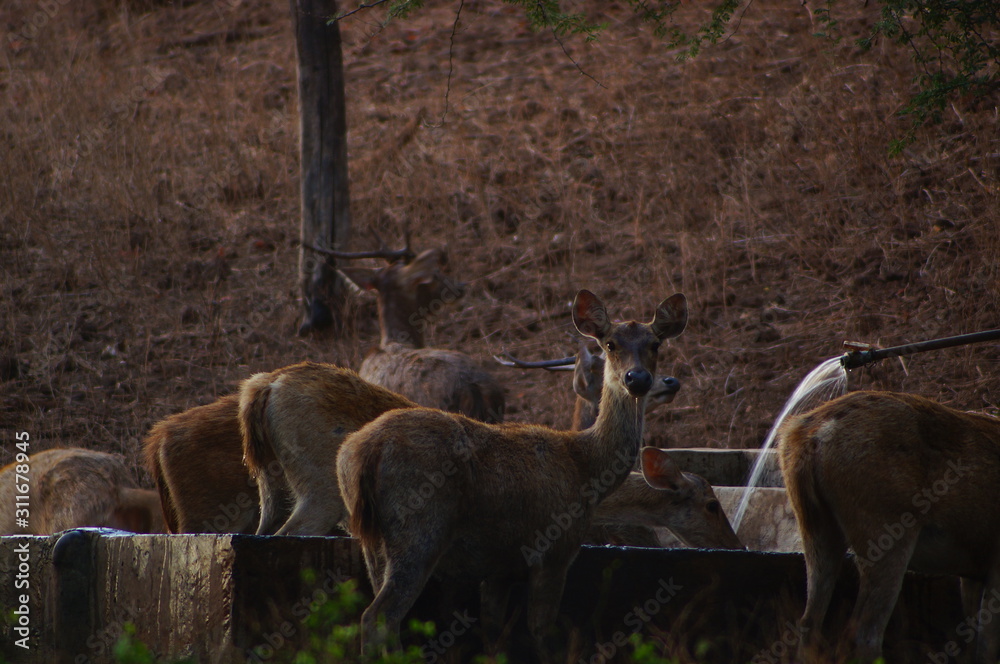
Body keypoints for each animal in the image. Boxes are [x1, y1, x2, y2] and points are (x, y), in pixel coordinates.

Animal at [336, 289, 688, 658]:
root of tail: (363, 452)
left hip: (370, 540)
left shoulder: (499, 569)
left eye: (655, 343)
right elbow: (541, 634)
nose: (639, 379)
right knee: (378, 616)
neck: (587, 469)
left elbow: (493, 635)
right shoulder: (554, 551)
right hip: (419, 529)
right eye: (610, 343)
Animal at [779, 390, 1000, 664]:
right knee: (864, 632)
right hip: (886, 527)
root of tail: (810, 435)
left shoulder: (972, 572)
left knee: (809, 622)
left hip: (814, 526)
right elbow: (987, 646)